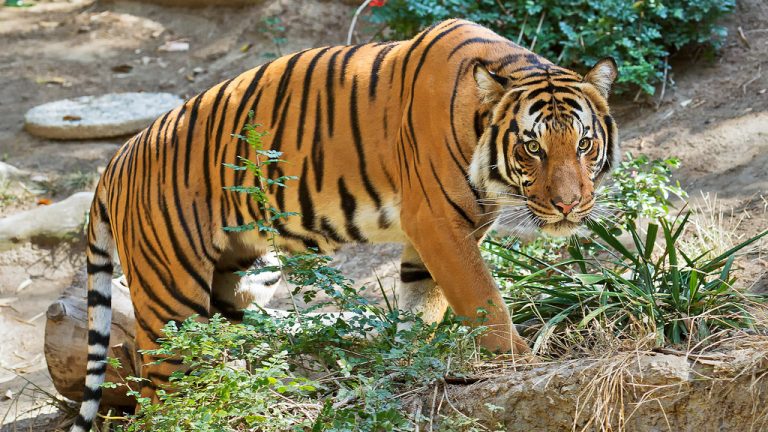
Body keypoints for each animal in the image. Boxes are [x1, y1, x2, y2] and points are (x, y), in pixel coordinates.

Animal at [72, 18, 618, 431]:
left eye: (584, 144)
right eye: (533, 148)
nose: (570, 205)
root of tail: (115, 160)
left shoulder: (432, 238)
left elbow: (423, 306)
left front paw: (409, 367)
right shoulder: (439, 224)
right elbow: (485, 301)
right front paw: (522, 366)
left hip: (248, 273)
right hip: (170, 294)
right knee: (159, 383)